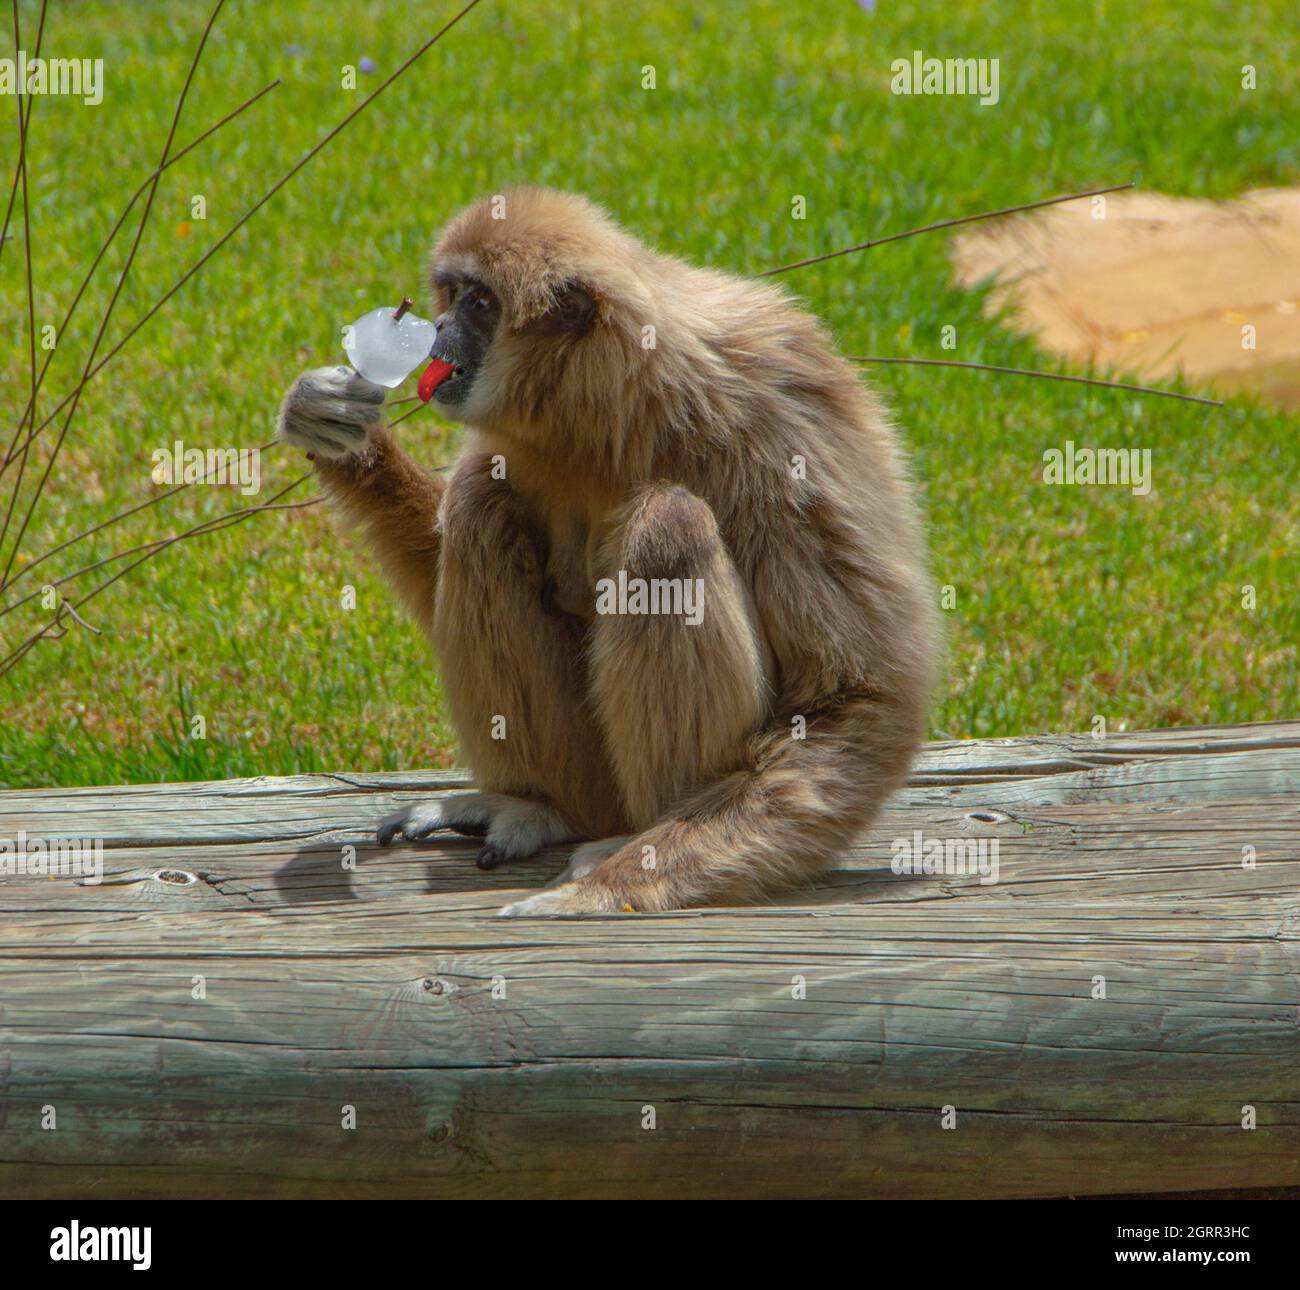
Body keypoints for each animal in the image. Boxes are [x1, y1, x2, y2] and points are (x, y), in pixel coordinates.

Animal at [277, 187, 938, 916]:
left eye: (478, 303)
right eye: (450, 294)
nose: (440, 327)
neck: (623, 395)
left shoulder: (781, 411)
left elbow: (857, 698)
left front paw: (601, 892)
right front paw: (339, 429)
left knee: (669, 530)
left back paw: (633, 837)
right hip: (590, 772)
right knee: (481, 502)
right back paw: (541, 806)